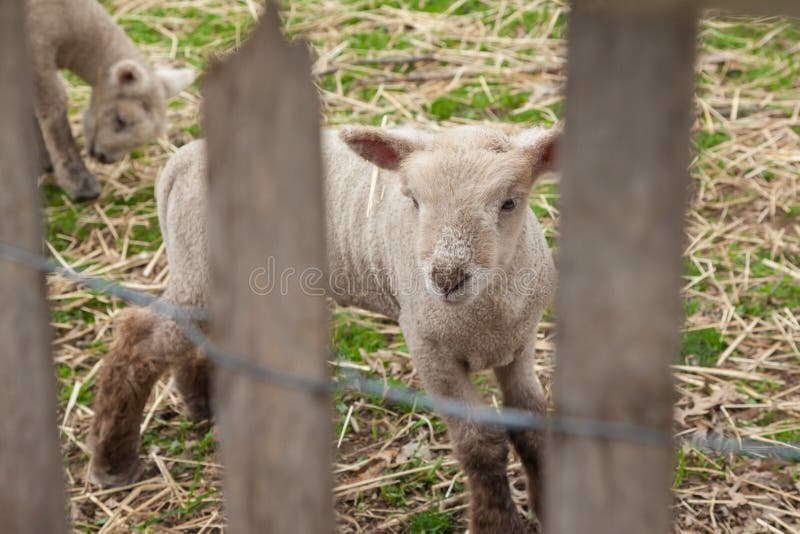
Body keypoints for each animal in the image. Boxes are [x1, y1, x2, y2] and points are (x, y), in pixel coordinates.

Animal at [88, 125, 558, 533]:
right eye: (413, 200)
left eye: (510, 202)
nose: (446, 278)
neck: (485, 316)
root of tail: (178, 162)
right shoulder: (430, 350)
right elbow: (480, 444)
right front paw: (498, 524)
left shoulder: (520, 344)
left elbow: (533, 425)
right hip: (199, 272)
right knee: (140, 335)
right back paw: (113, 460)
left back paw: (203, 404)